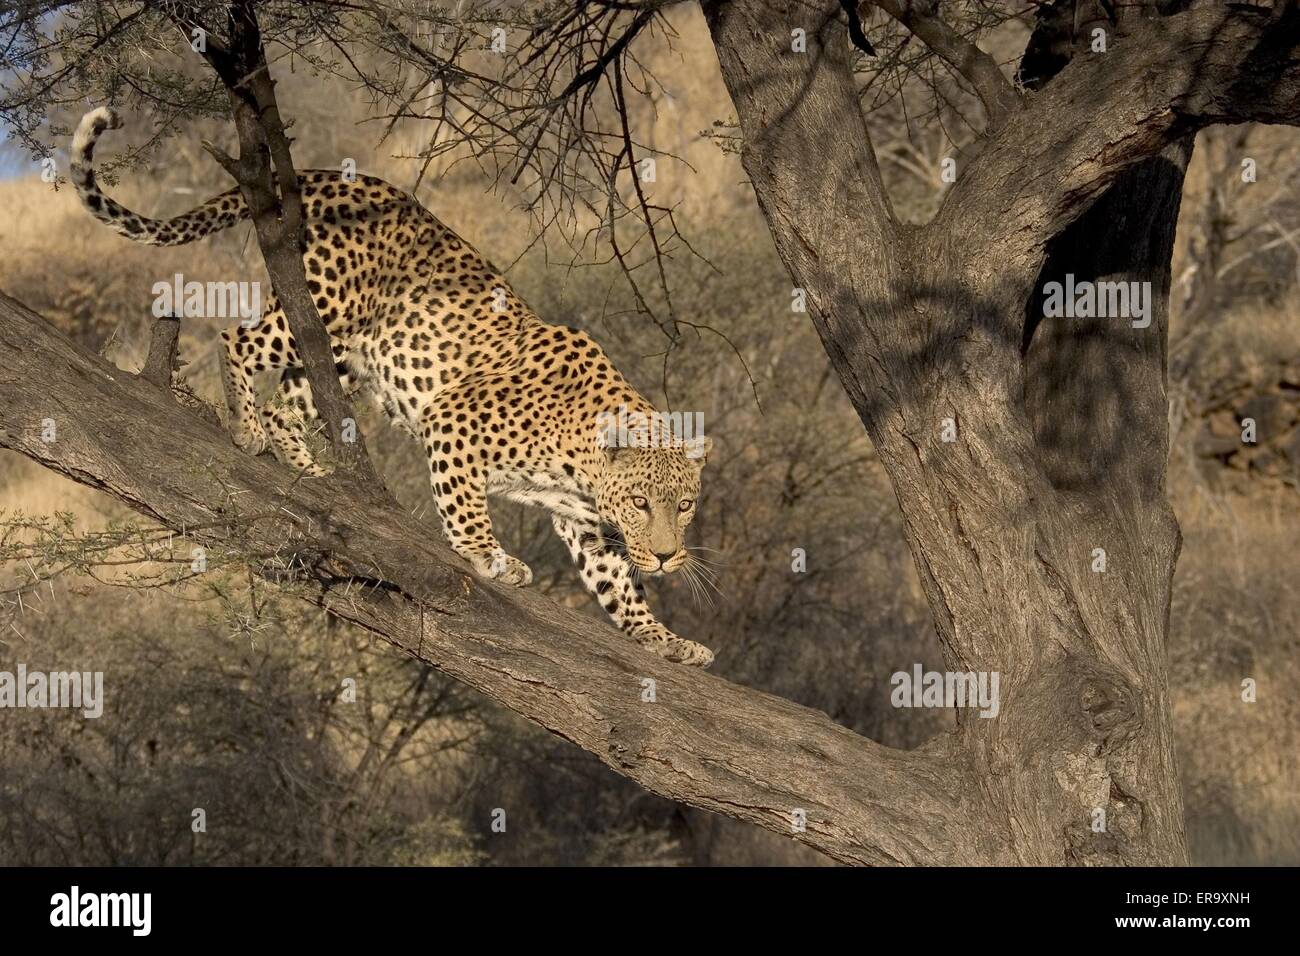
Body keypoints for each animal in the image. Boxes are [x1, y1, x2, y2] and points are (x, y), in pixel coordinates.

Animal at [70, 106, 715, 667]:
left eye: (683, 505)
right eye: (641, 502)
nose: (668, 557)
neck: (581, 460)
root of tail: (327, 176)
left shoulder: (585, 522)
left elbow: (618, 585)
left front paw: (665, 640)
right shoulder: (454, 421)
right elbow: (465, 507)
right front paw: (489, 558)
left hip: (343, 357)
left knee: (286, 403)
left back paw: (311, 469)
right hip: (322, 307)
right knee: (238, 338)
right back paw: (246, 428)